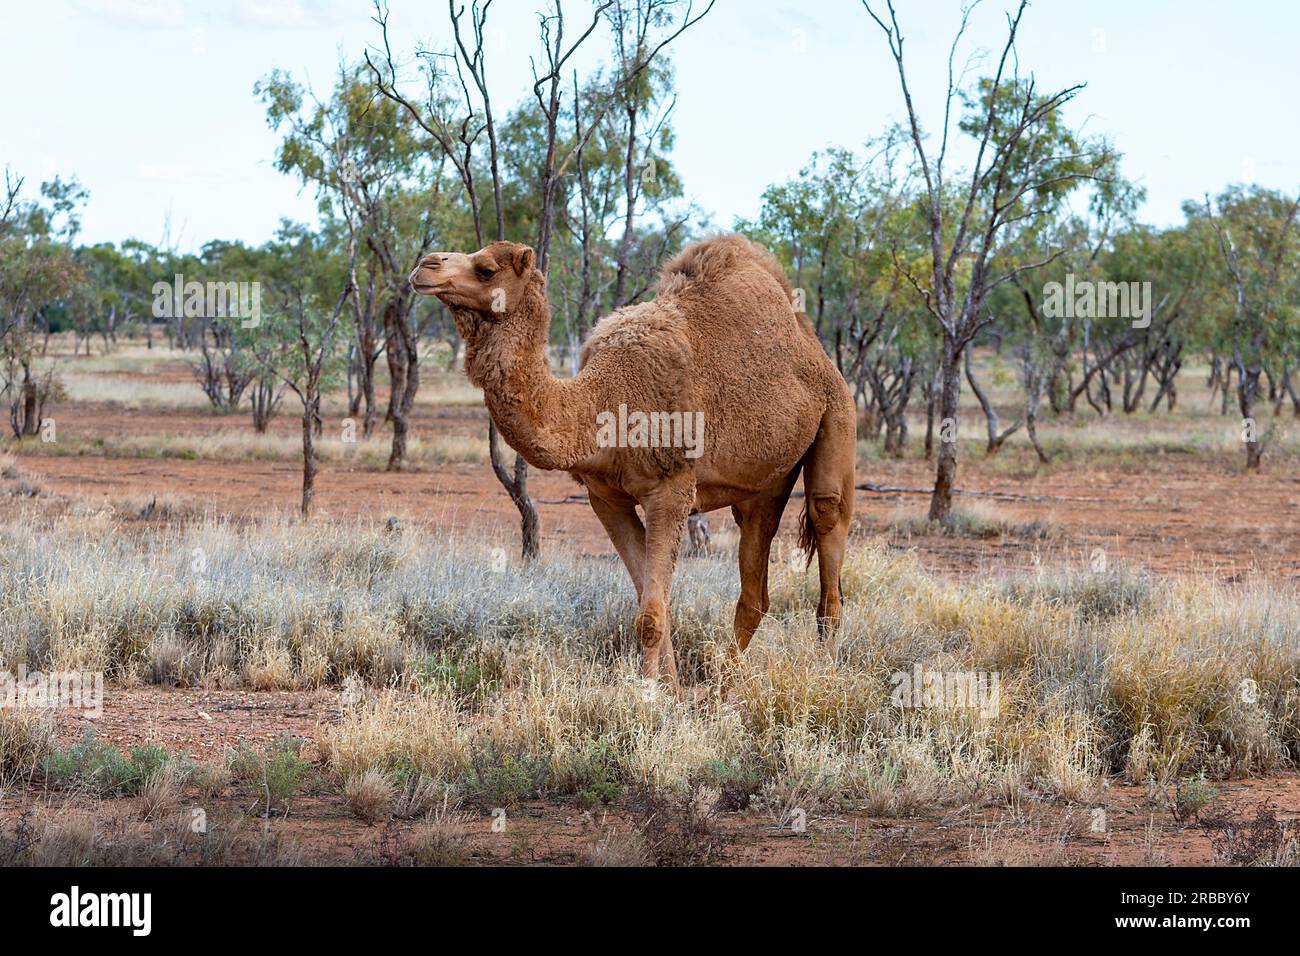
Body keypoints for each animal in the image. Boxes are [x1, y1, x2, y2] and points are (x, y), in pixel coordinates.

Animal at [409, 234, 856, 690]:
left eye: (486, 269)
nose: (424, 266)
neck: (604, 399)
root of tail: (814, 345)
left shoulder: (671, 489)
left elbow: (651, 615)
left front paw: (648, 694)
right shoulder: (606, 498)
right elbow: (650, 599)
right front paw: (672, 688)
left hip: (838, 415)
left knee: (827, 533)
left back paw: (825, 672)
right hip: (764, 483)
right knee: (754, 585)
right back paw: (723, 682)